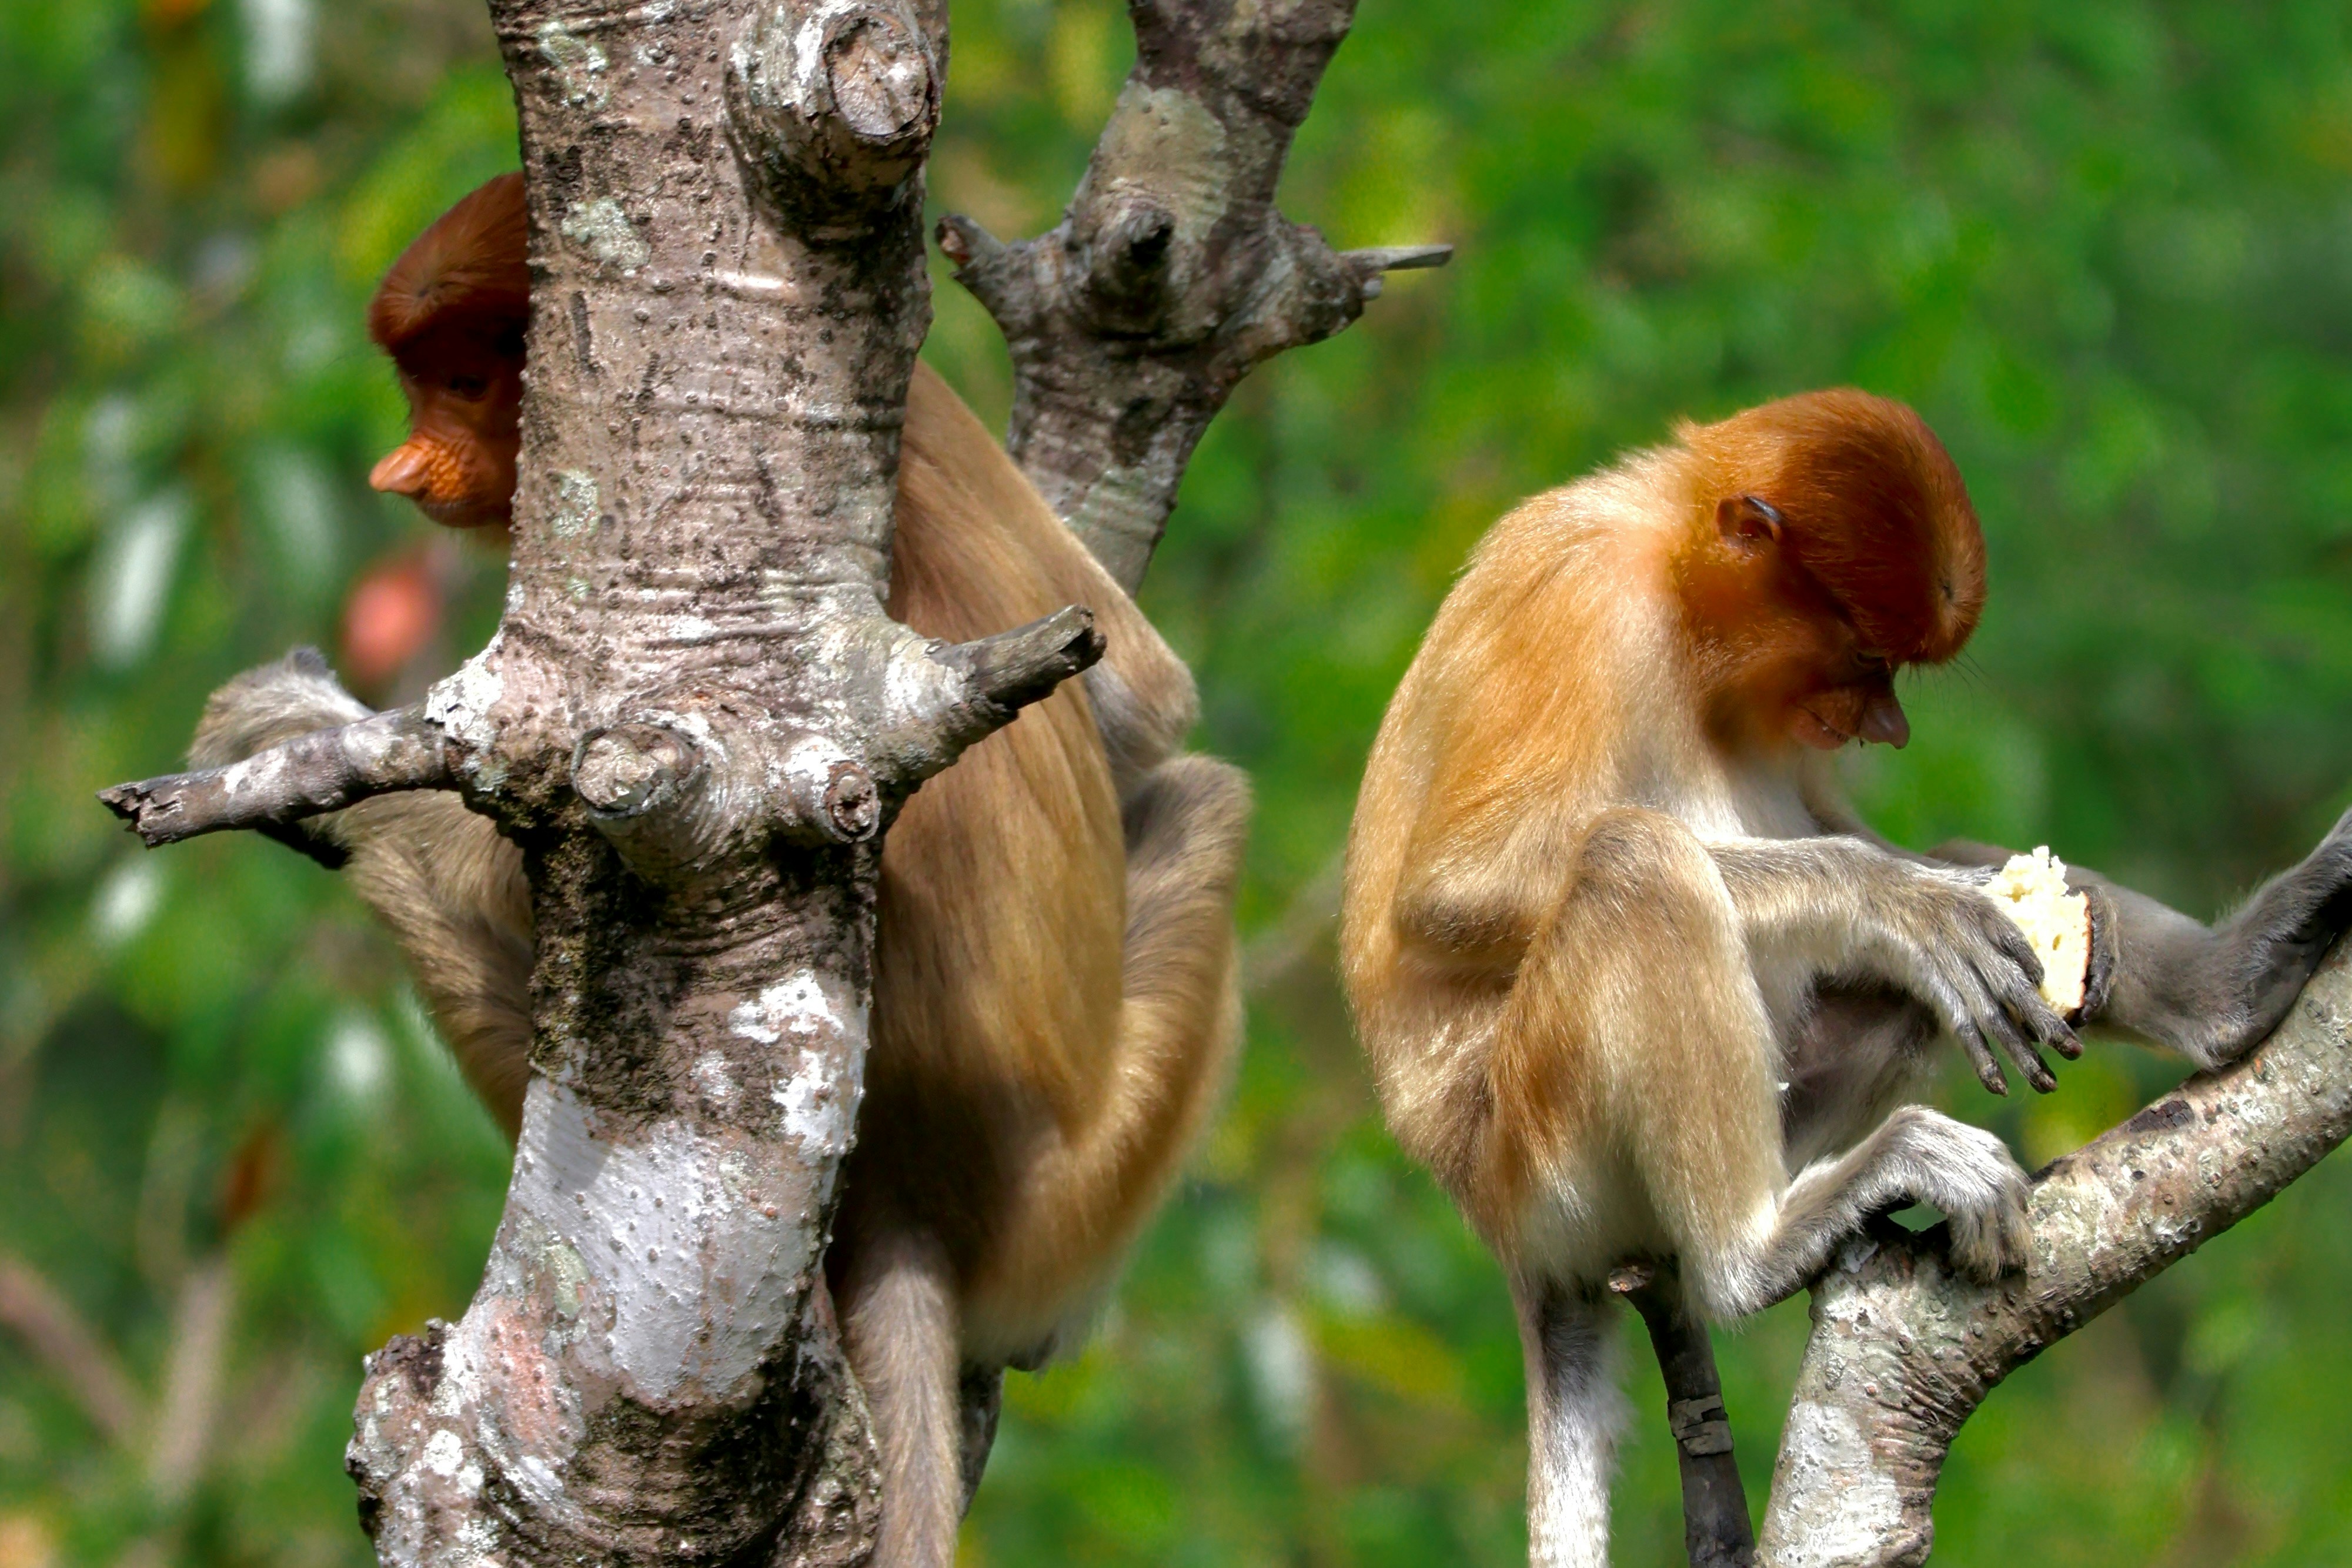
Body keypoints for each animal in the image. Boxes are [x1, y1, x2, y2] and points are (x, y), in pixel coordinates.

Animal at [192, 176, 1250, 1567]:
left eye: (465, 381)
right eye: (417, 383)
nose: (400, 469)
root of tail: (925, 1185)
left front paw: (290, 732)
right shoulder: (941, 414)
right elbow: (1141, 693)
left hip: (1071, 1193)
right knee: (1197, 793)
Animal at [1339, 389, 2352, 1566]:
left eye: (1898, 669)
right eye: (1864, 649)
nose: (1891, 728)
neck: (1672, 585)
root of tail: (1498, 1228)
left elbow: (1879, 835)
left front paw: (2029, 924)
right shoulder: (1575, 592)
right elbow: (1458, 886)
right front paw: (1907, 906)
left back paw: (2236, 980)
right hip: (1539, 1148)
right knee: (1637, 864)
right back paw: (1756, 1247)